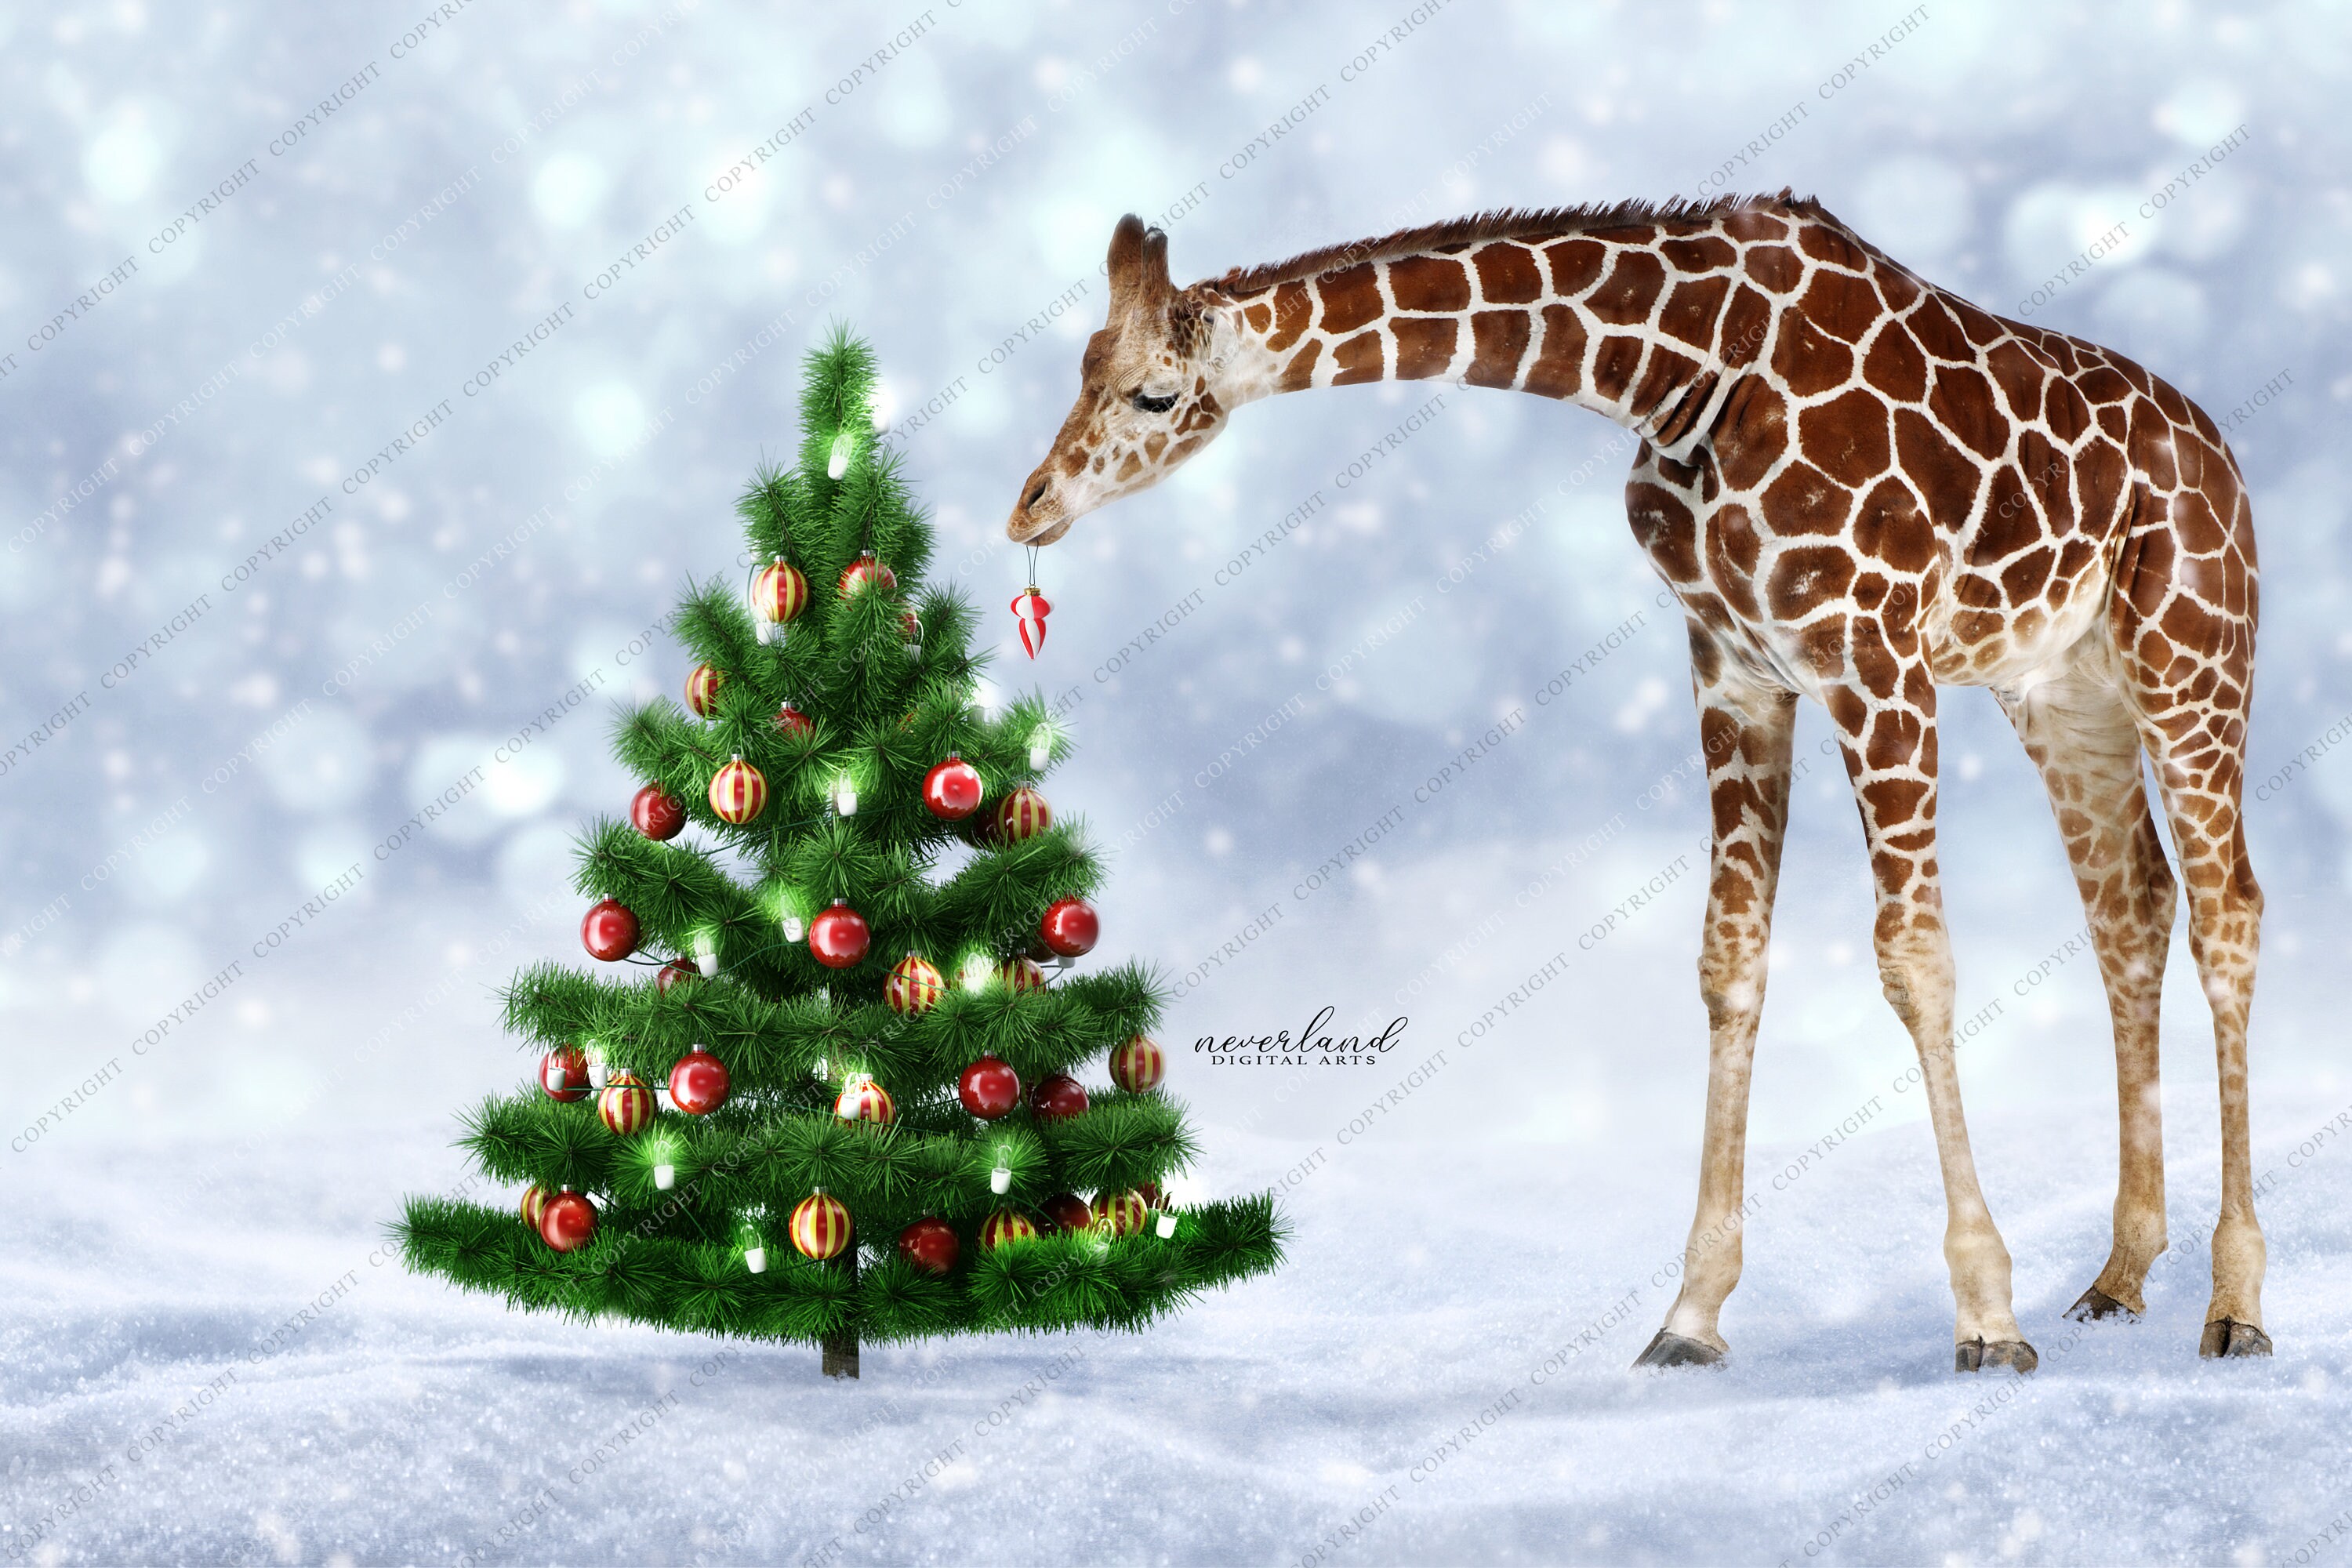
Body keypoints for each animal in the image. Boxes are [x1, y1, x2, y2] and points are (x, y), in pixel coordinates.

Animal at [1006, 194, 2268, 1372]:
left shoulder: (1874, 660)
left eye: (1150, 396)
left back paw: (2235, 1302)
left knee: (2229, 912)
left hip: (2192, 661)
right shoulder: (1736, 670)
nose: (1031, 505)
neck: (1676, 367)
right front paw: (1691, 1315)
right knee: (2132, 907)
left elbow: (1916, 961)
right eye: (1080, 369)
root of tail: (2222, 457)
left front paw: (1988, 1318)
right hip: (2063, 691)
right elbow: (1730, 962)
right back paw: (2118, 1274)